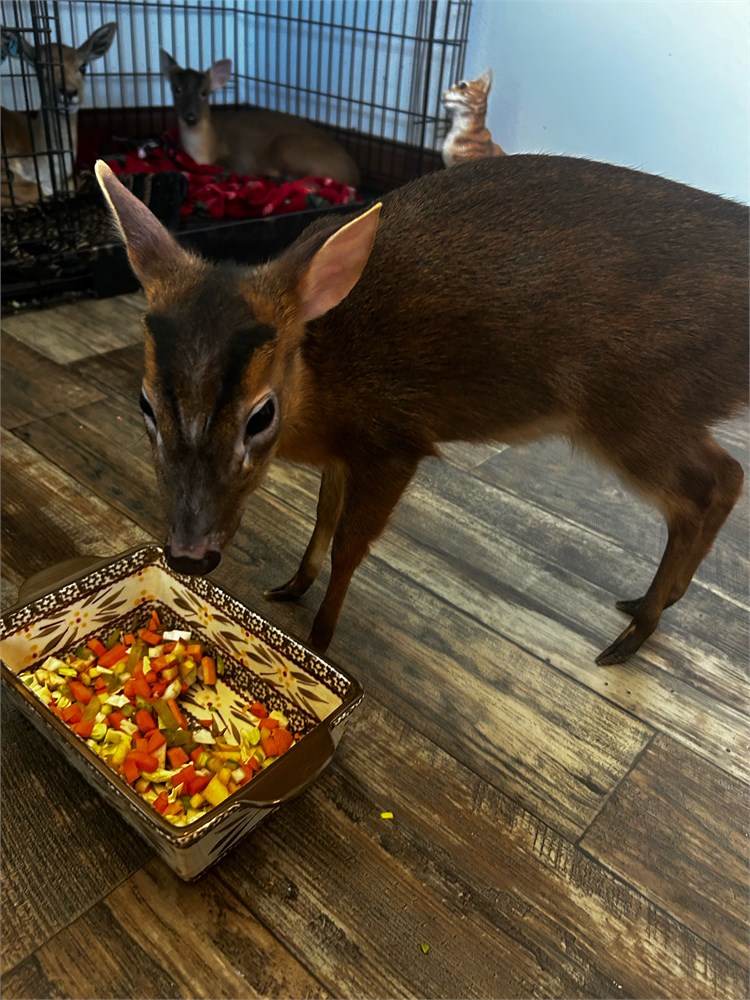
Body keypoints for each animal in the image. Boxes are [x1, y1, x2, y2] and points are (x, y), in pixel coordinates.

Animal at [94, 153, 748, 666]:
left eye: (261, 415)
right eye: (146, 403)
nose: (189, 555)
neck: (321, 388)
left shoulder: (395, 439)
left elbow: (349, 546)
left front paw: (321, 639)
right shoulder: (347, 452)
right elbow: (322, 517)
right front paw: (292, 586)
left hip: (637, 404)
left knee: (709, 486)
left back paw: (634, 631)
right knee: (726, 477)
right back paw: (654, 604)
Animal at [159, 49, 360, 187]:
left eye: (204, 92)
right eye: (177, 89)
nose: (191, 117)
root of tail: (354, 176)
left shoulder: (239, 161)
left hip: (287, 145)